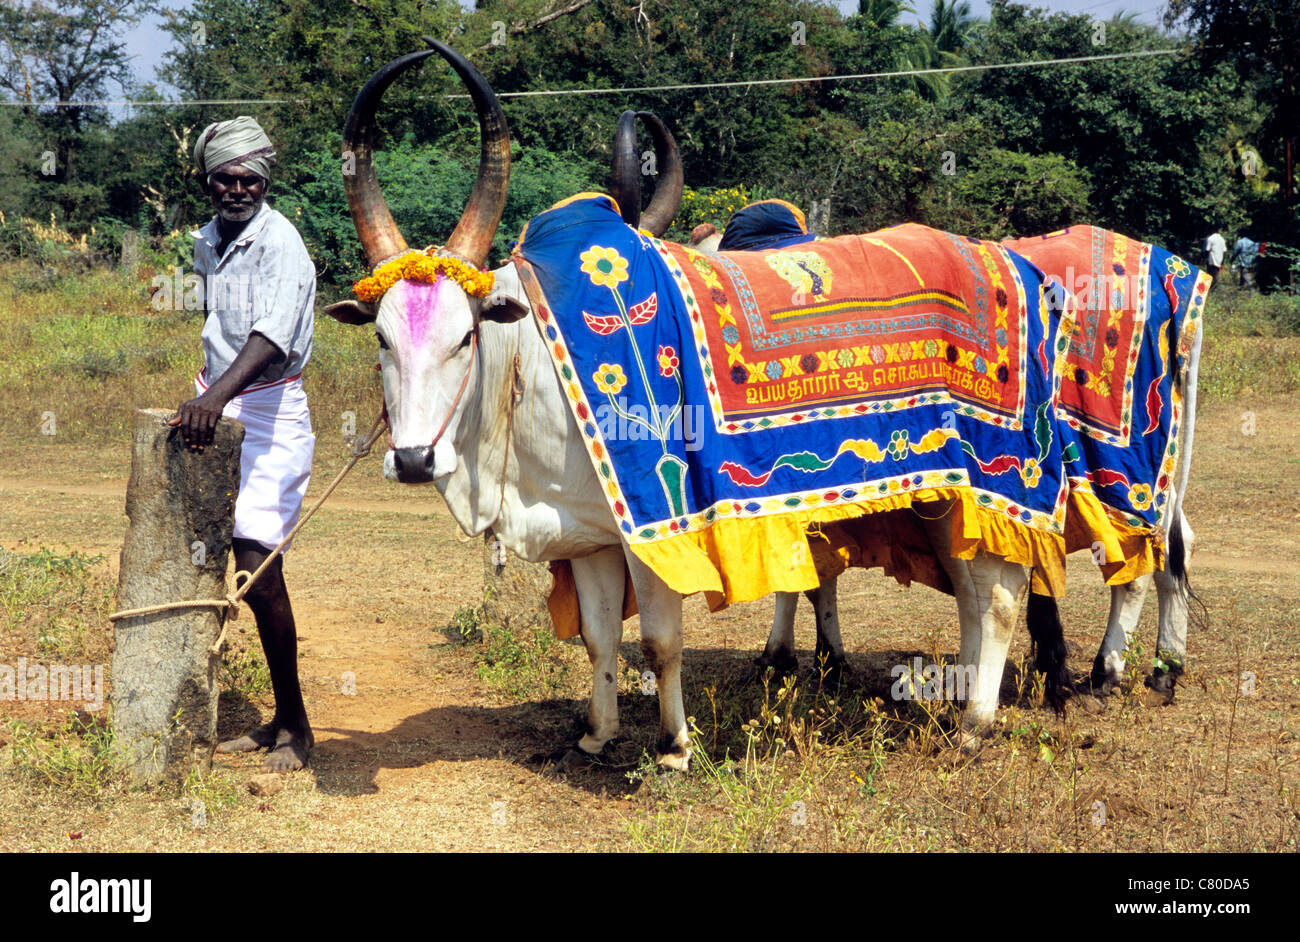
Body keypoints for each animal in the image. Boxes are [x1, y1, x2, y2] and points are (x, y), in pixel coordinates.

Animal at [324, 42, 1193, 769]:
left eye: (465, 336)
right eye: (382, 340)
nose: (410, 459)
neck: (532, 364)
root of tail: (1020, 268)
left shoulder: (657, 531)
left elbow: (660, 643)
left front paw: (673, 749)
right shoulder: (592, 537)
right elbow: (602, 641)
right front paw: (598, 734)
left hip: (1003, 477)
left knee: (1022, 593)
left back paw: (994, 719)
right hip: (950, 496)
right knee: (979, 598)